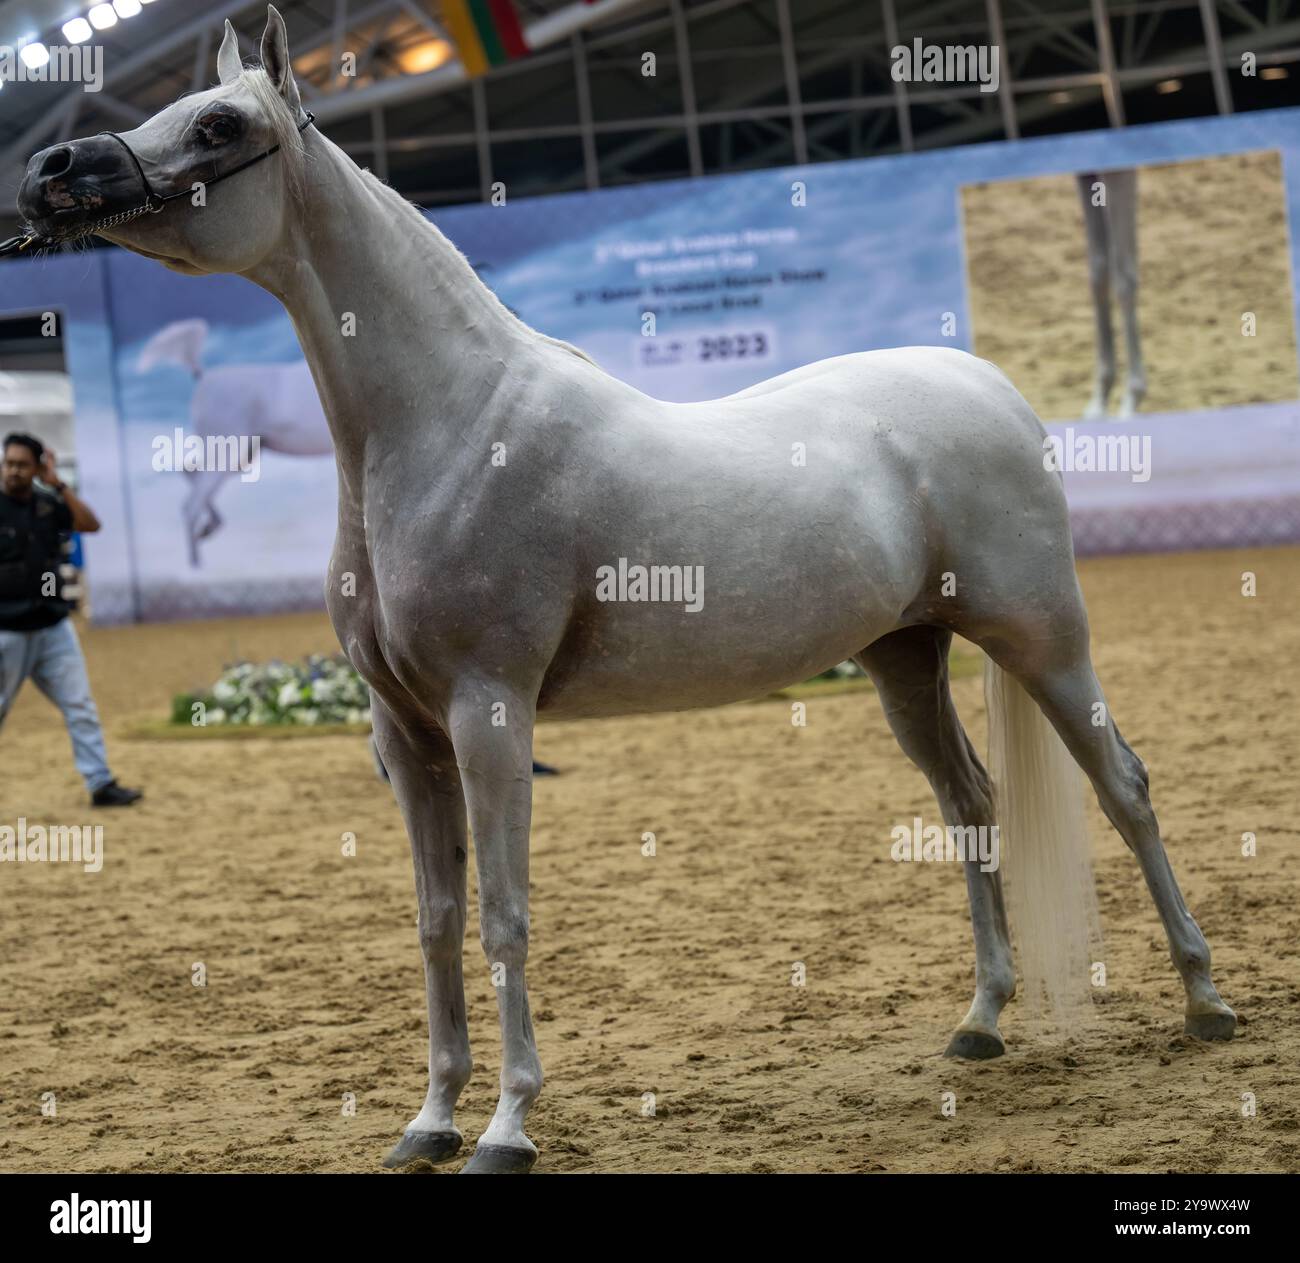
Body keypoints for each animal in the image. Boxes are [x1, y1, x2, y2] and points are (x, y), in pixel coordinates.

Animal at [136, 318, 333, 566]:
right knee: (191, 504)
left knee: (189, 473)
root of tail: (203, 377)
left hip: (241, 454)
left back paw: (208, 530)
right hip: (228, 451)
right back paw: (196, 565)